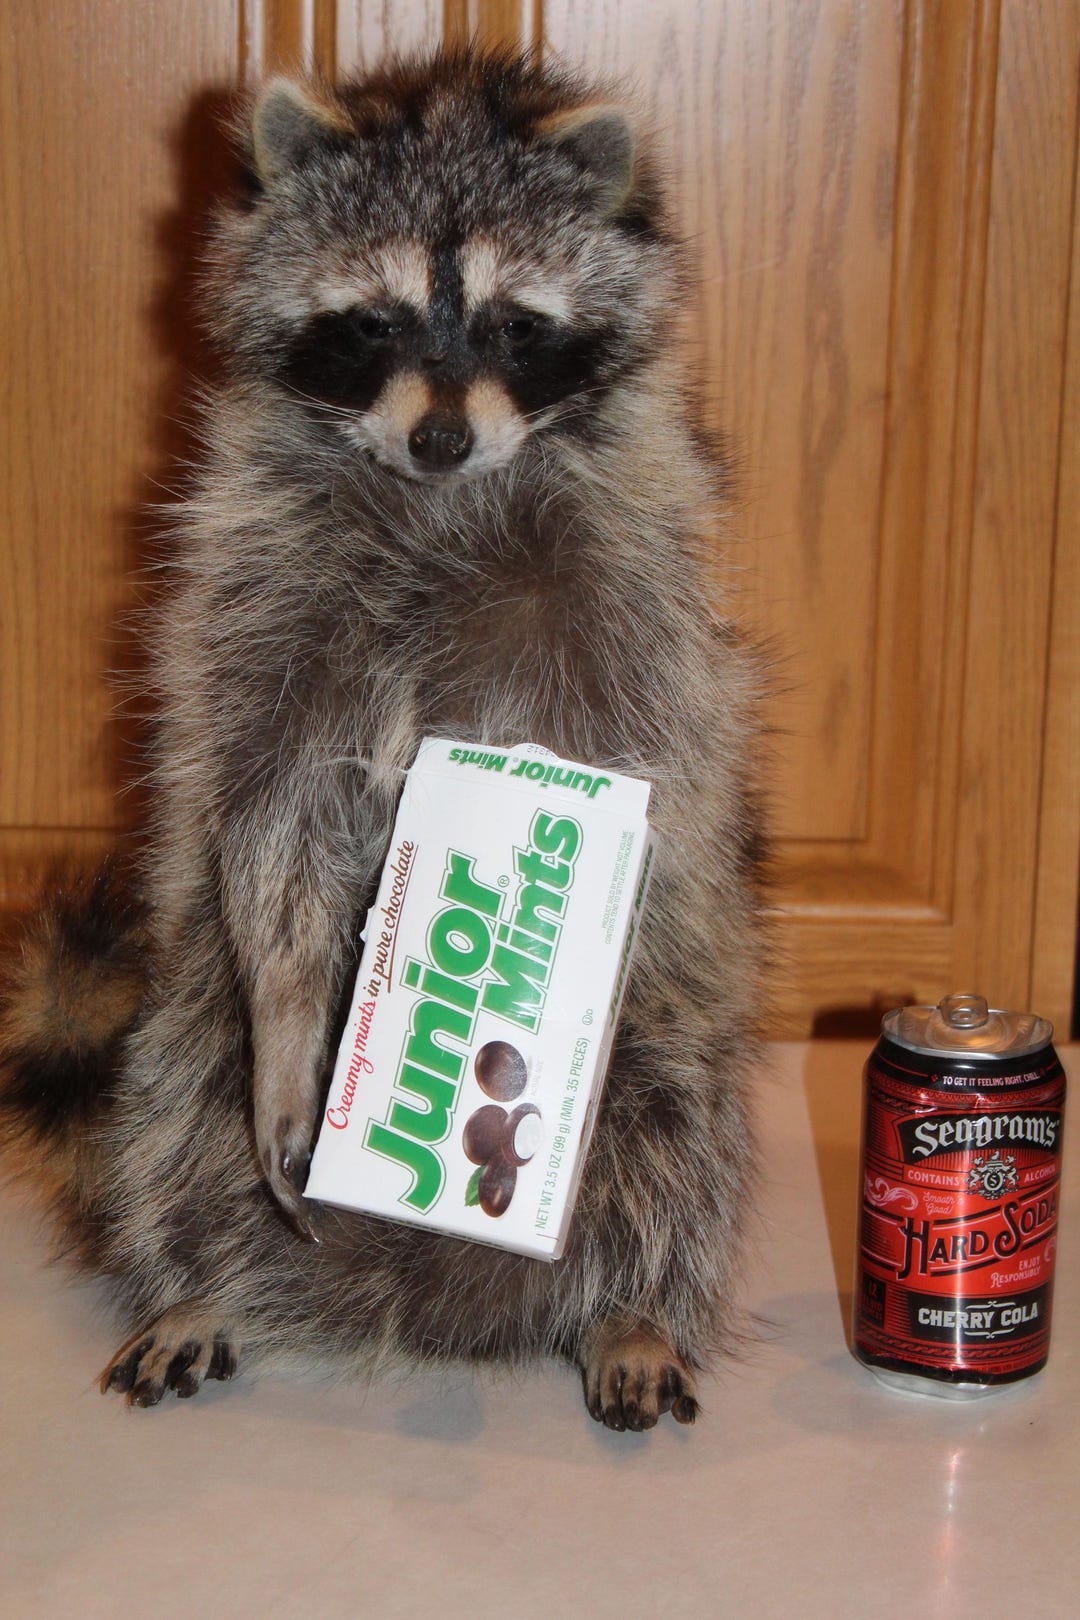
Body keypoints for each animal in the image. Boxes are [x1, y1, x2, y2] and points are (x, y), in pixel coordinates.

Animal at [0, 47, 766, 1432]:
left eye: (516, 323)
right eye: (373, 323)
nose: (441, 435)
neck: (440, 498)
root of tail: (428, 1313)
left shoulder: (639, 586)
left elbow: (657, 774)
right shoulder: (250, 587)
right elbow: (265, 818)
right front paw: (295, 1007)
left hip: (674, 1037)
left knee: (680, 1121)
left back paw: (632, 1306)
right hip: (181, 1019)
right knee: (170, 1112)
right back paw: (197, 1281)